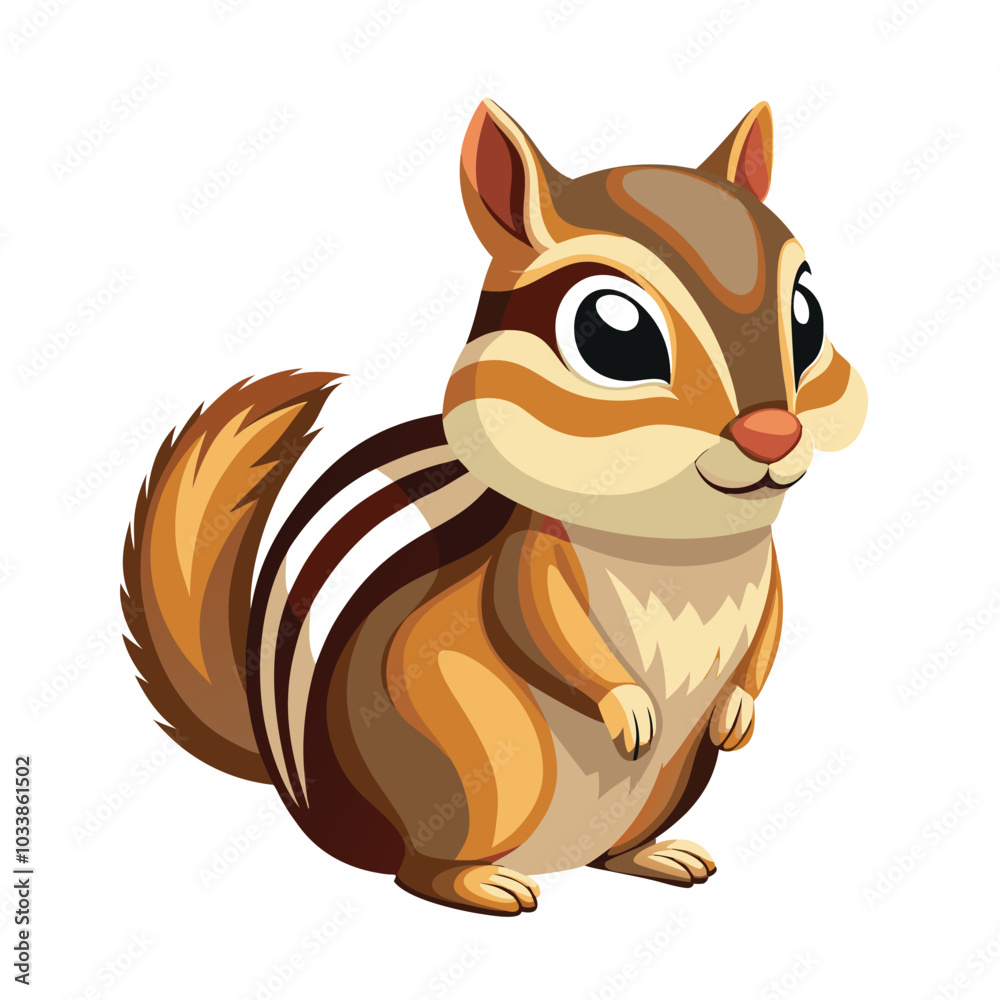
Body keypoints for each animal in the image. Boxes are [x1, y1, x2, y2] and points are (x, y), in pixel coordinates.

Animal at [122, 99, 867, 916]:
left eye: (807, 315)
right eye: (613, 334)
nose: (773, 433)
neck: (675, 542)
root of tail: (325, 805)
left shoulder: (771, 571)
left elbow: (768, 634)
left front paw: (739, 712)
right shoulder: (535, 559)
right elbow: (538, 624)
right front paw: (627, 705)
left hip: (668, 787)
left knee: (612, 854)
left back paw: (659, 856)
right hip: (481, 763)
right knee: (417, 871)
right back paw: (487, 883)